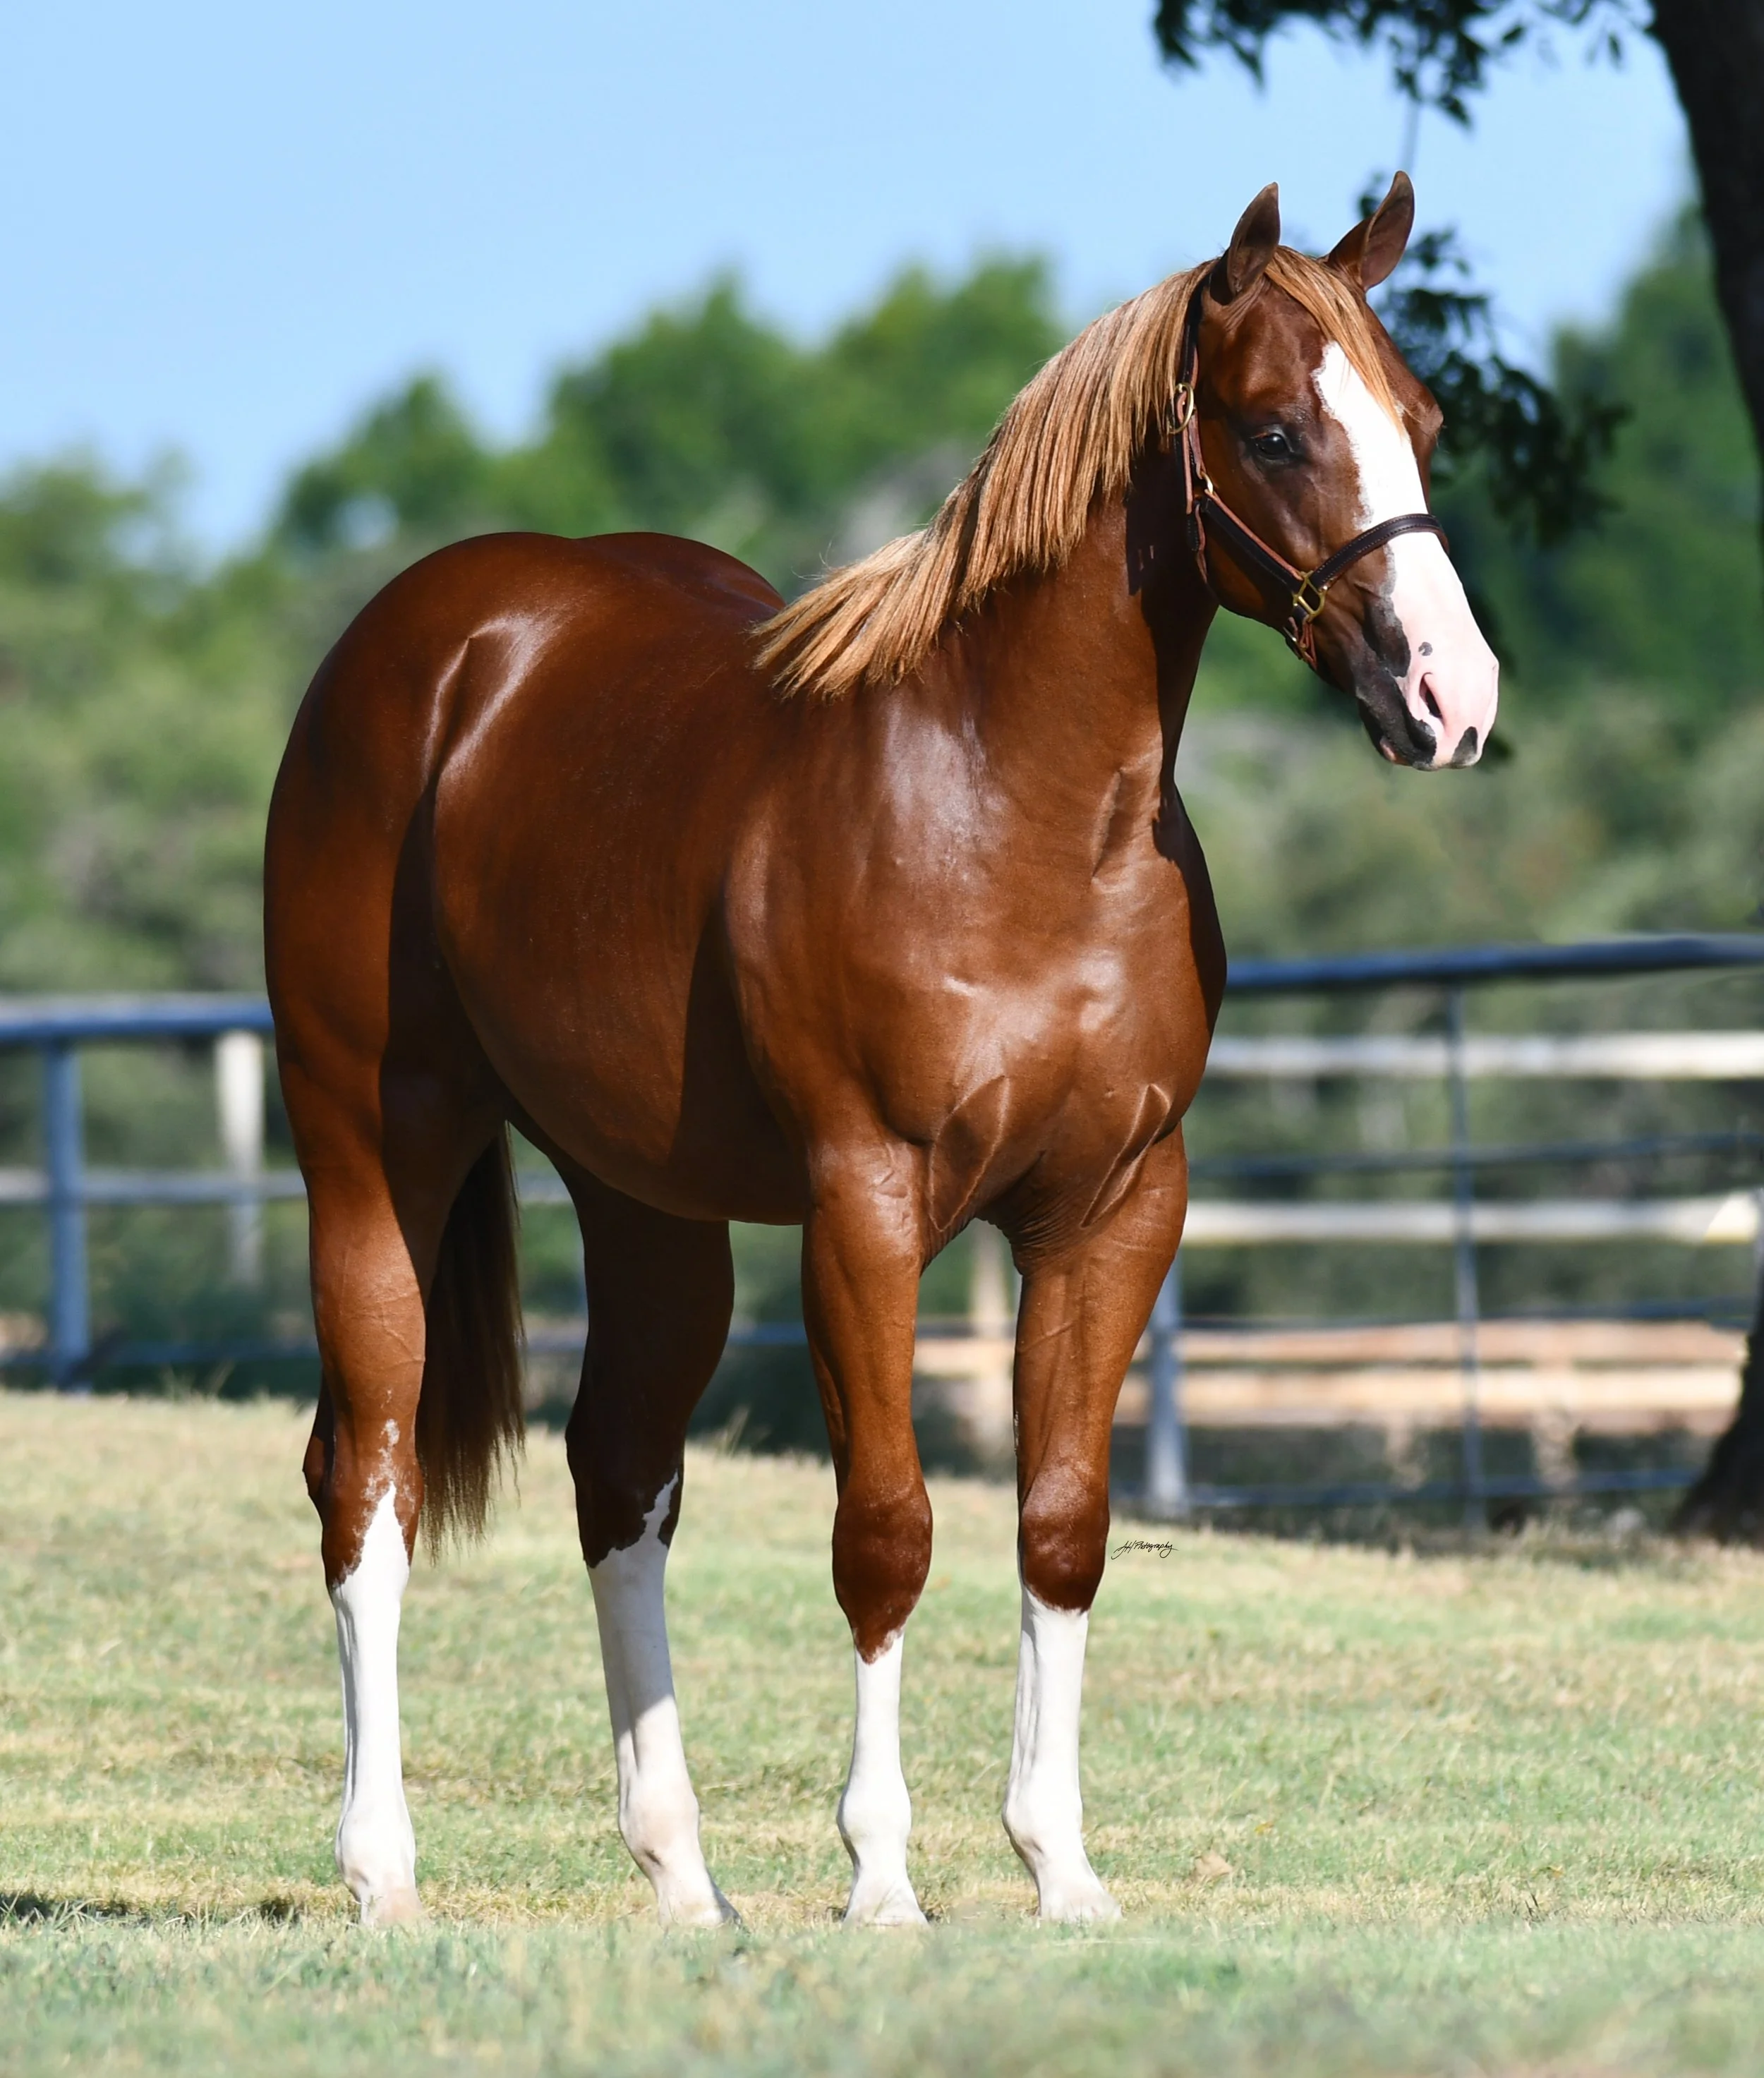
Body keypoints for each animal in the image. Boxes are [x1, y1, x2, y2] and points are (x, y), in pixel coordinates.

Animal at [264, 174, 1497, 1929]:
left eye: (1421, 418)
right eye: (1270, 428)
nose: (1447, 695)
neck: (1014, 808)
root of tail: (431, 640)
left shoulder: (1114, 1206)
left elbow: (1060, 1521)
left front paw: (1059, 1867)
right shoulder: (865, 1205)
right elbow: (887, 1527)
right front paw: (882, 1879)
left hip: (649, 1207)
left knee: (617, 1470)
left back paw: (683, 1877)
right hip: (377, 1142)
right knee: (364, 1473)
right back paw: (383, 1869)